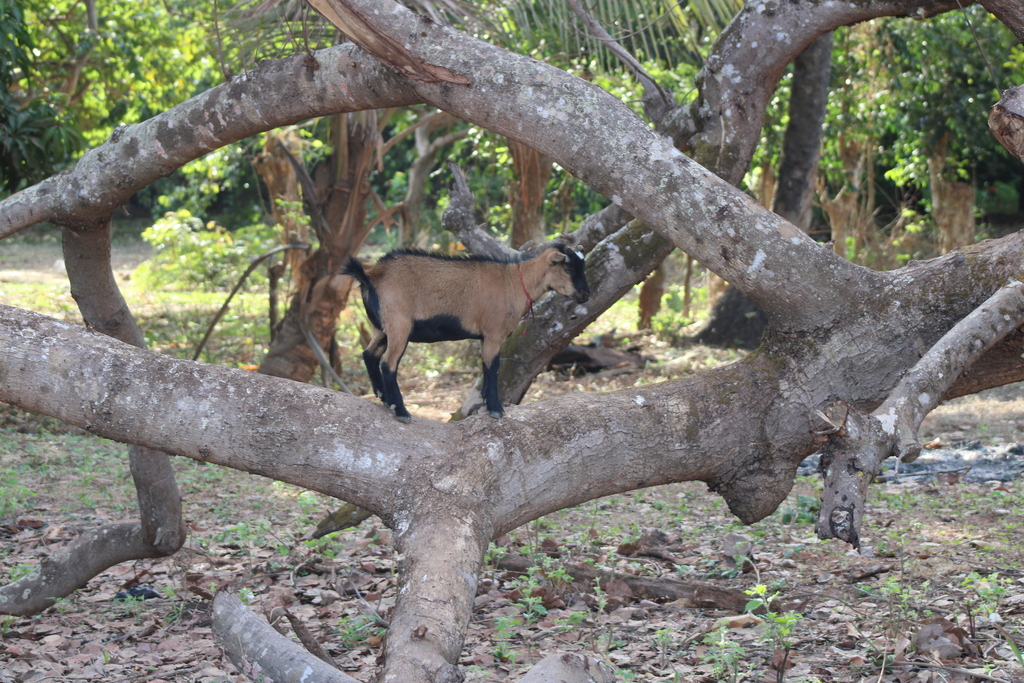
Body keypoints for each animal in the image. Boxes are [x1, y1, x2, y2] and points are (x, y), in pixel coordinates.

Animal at [343, 242, 590, 422]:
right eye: (568, 268)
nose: (586, 295)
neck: (514, 283)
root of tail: (371, 276)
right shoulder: (493, 332)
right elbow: (494, 367)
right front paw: (495, 409)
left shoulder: (484, 336)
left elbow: (486, 366)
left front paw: (485, 403)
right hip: (399, 324)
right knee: (388, 364)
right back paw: (401, 411)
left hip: (382, 328)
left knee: (369, 354)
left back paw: (383, 397)